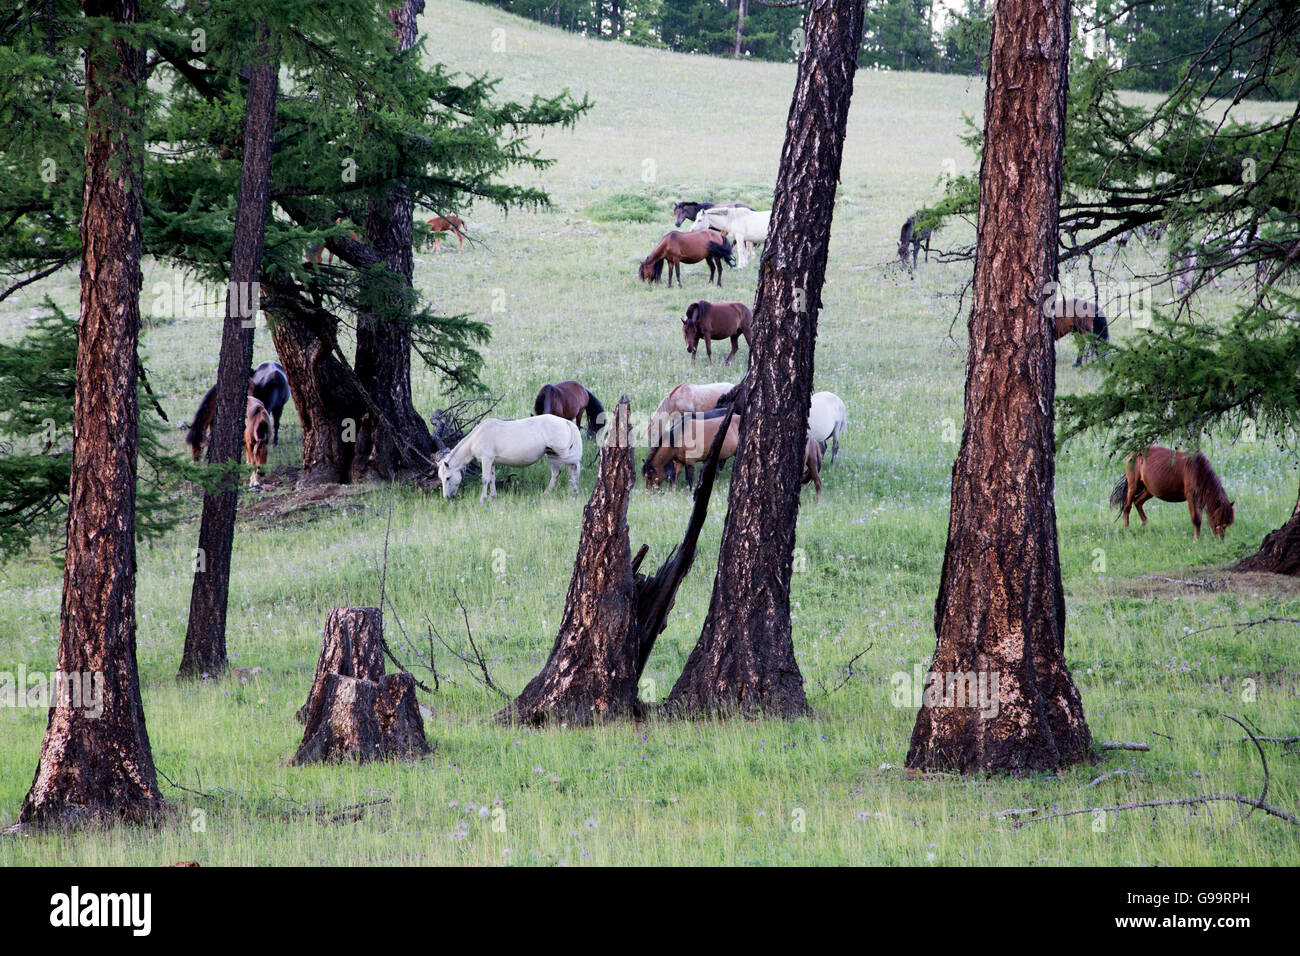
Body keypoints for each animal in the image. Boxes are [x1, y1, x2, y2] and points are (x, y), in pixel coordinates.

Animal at [436, 415, 582, 503]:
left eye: (448, 478)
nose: (446, 497)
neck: (477, 437)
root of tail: (566, 421)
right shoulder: (492, 462)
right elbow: (492, 479)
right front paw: (493, 497)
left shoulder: (486, 459)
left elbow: (485, 479)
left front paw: (482, 500)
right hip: (552, 454)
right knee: (558, 473)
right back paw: (551, 493)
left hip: (562, 453)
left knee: (573, 468)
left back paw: (573, 491)